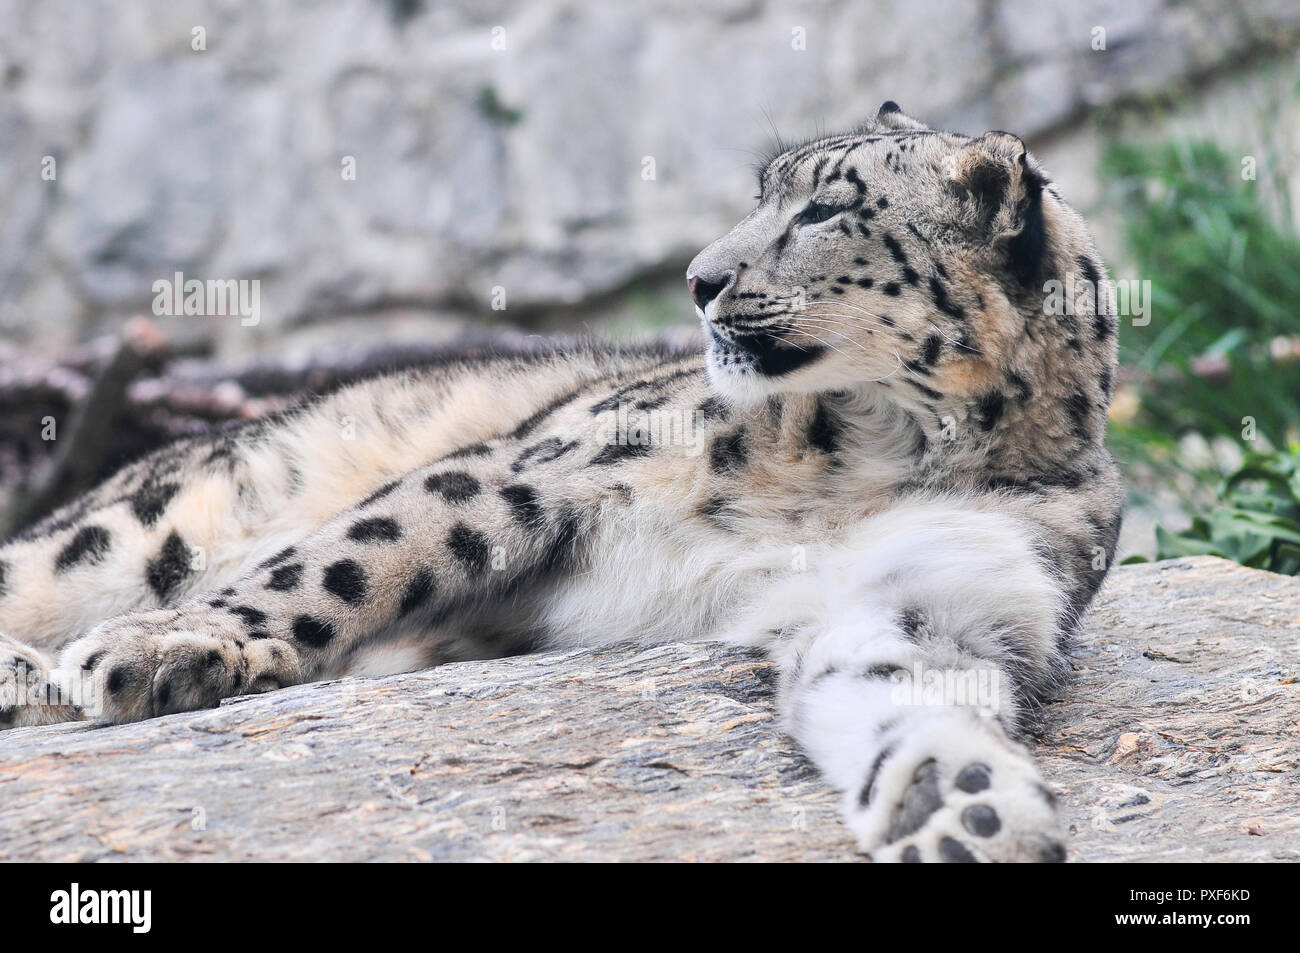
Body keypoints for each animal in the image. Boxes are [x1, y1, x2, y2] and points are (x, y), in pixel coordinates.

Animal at [0, 102, 1123, 863]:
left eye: (820, 210)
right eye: (768, 192)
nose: (699, 278)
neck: (886, 452)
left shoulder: (937, 578)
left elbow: (898, 681)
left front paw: (967, 802)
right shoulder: (536, 468)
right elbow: (349, 561)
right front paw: (164, 647)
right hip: (140, 523)